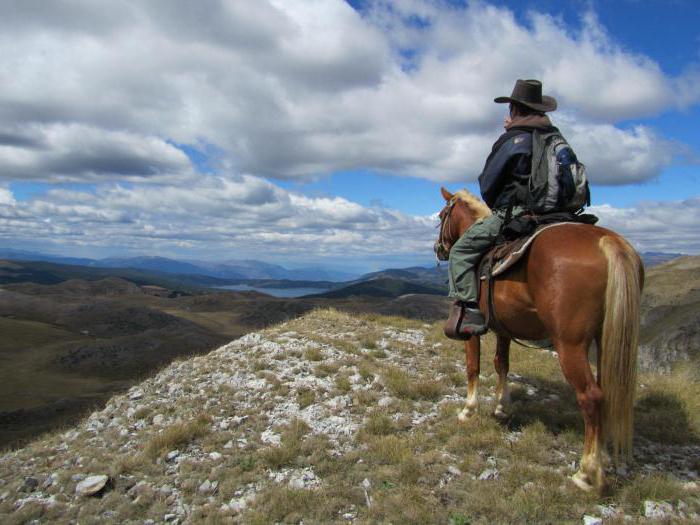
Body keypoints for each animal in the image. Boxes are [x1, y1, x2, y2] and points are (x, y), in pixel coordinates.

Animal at [438, 187, 644, 492]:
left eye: (442, 215)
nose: (439, 249)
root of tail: (609, 242)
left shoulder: (469, 330)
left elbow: (473, 366)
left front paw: (468, 410)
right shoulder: (504, 330)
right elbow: (501, 364)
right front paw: (501, 407)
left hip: (570, 344)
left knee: (591, 396)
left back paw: (586, 473)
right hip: (606, 340)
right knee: (607, 390)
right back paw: (603, 457)